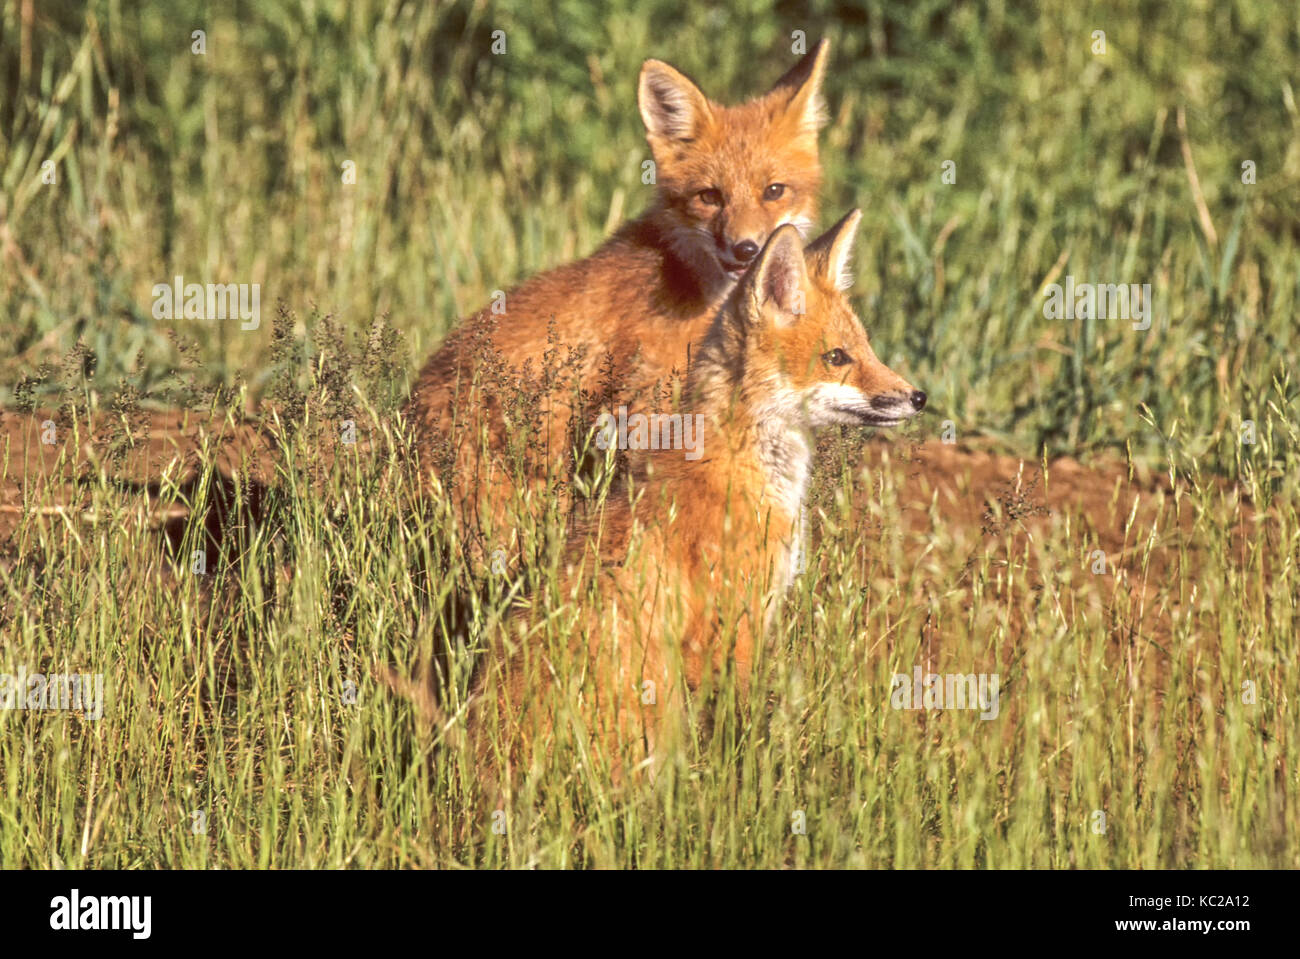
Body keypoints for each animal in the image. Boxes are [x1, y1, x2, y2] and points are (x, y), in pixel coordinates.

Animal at [455, 210, 926, 802]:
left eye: (867, 349)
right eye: (836, 358)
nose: (918, 397)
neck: (741, 470)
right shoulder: (732, 628)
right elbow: (742, 733)